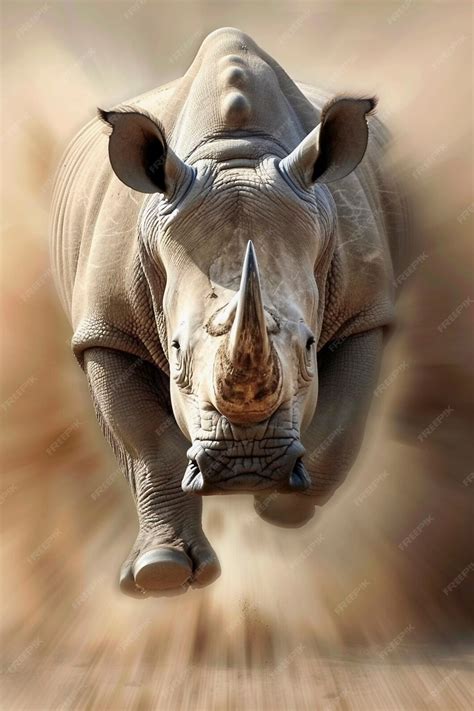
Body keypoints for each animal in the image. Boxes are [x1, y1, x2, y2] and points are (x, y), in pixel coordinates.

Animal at [50, 27, 406, 597]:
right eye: (175, 351)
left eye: (310, 345)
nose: (247, 469)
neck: (235, 155)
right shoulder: (106, 329)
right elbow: (147, 442)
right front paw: (161, 575)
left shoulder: (365, 311)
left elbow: (342, 424)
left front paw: (280, 505)